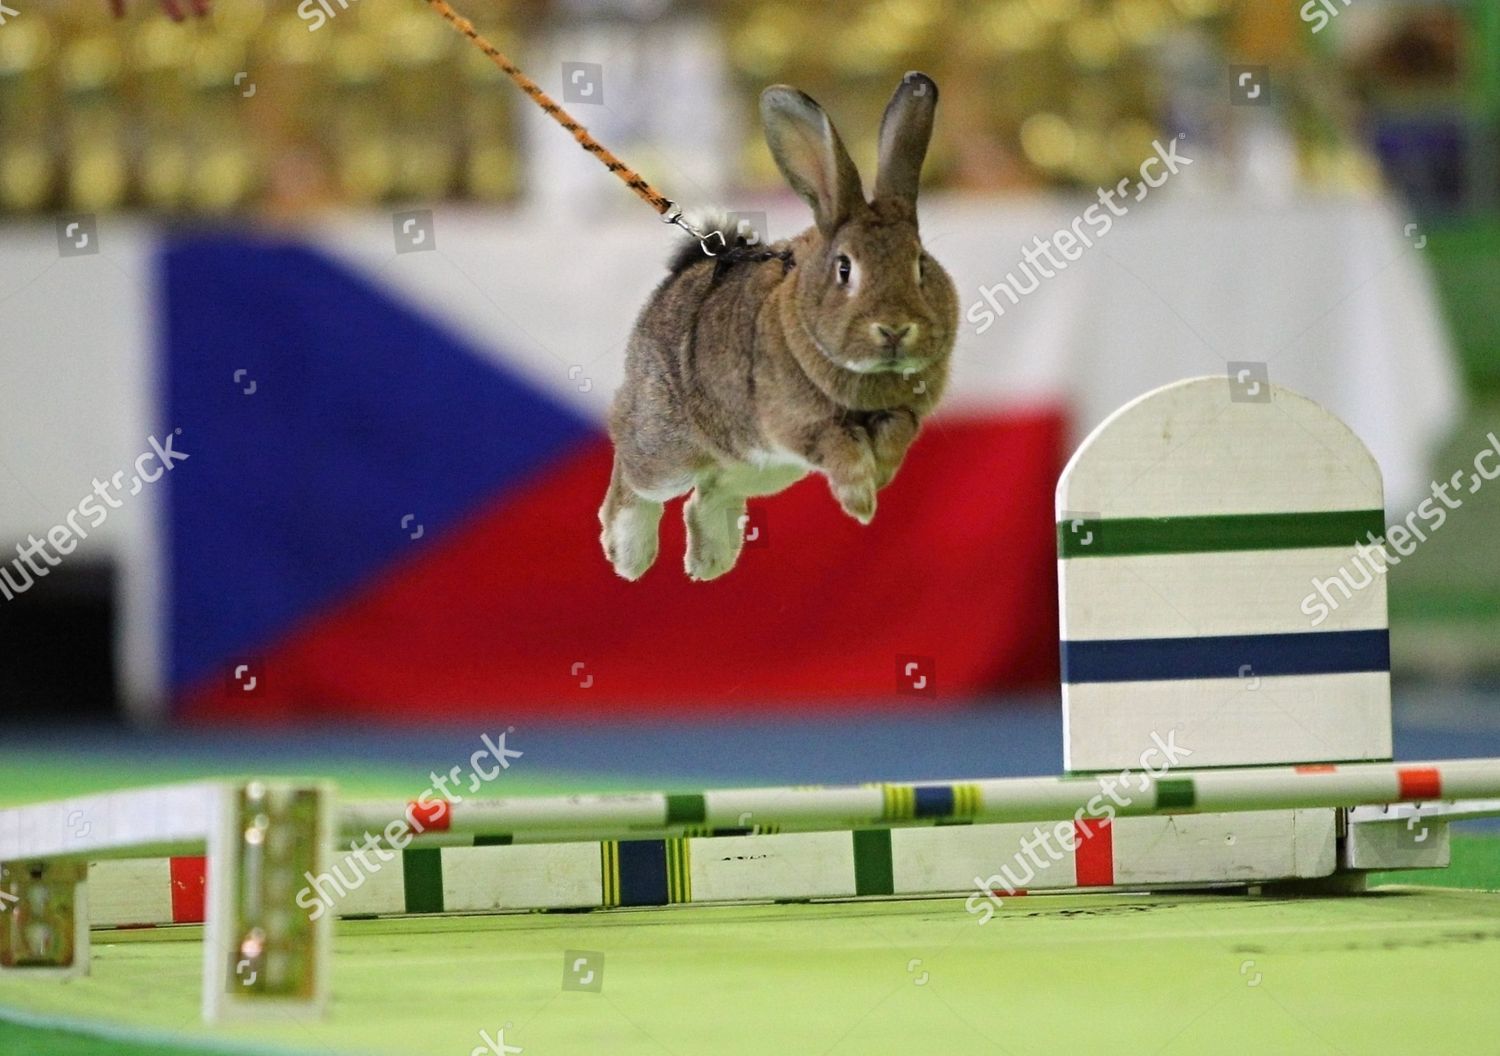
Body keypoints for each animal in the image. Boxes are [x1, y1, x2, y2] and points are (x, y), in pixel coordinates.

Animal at [599, 71, 958, 581]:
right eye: (845, 268)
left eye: (920, 266)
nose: (893, 329)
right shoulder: (800, 424)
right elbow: (840, 449)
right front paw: (861, 501)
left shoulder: (902, 415)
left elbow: (894, 436)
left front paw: (881, 476)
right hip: (668, 452)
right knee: (631, 478)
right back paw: (630, 556)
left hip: (759, 471)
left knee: (709, 497)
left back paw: (709, 563)